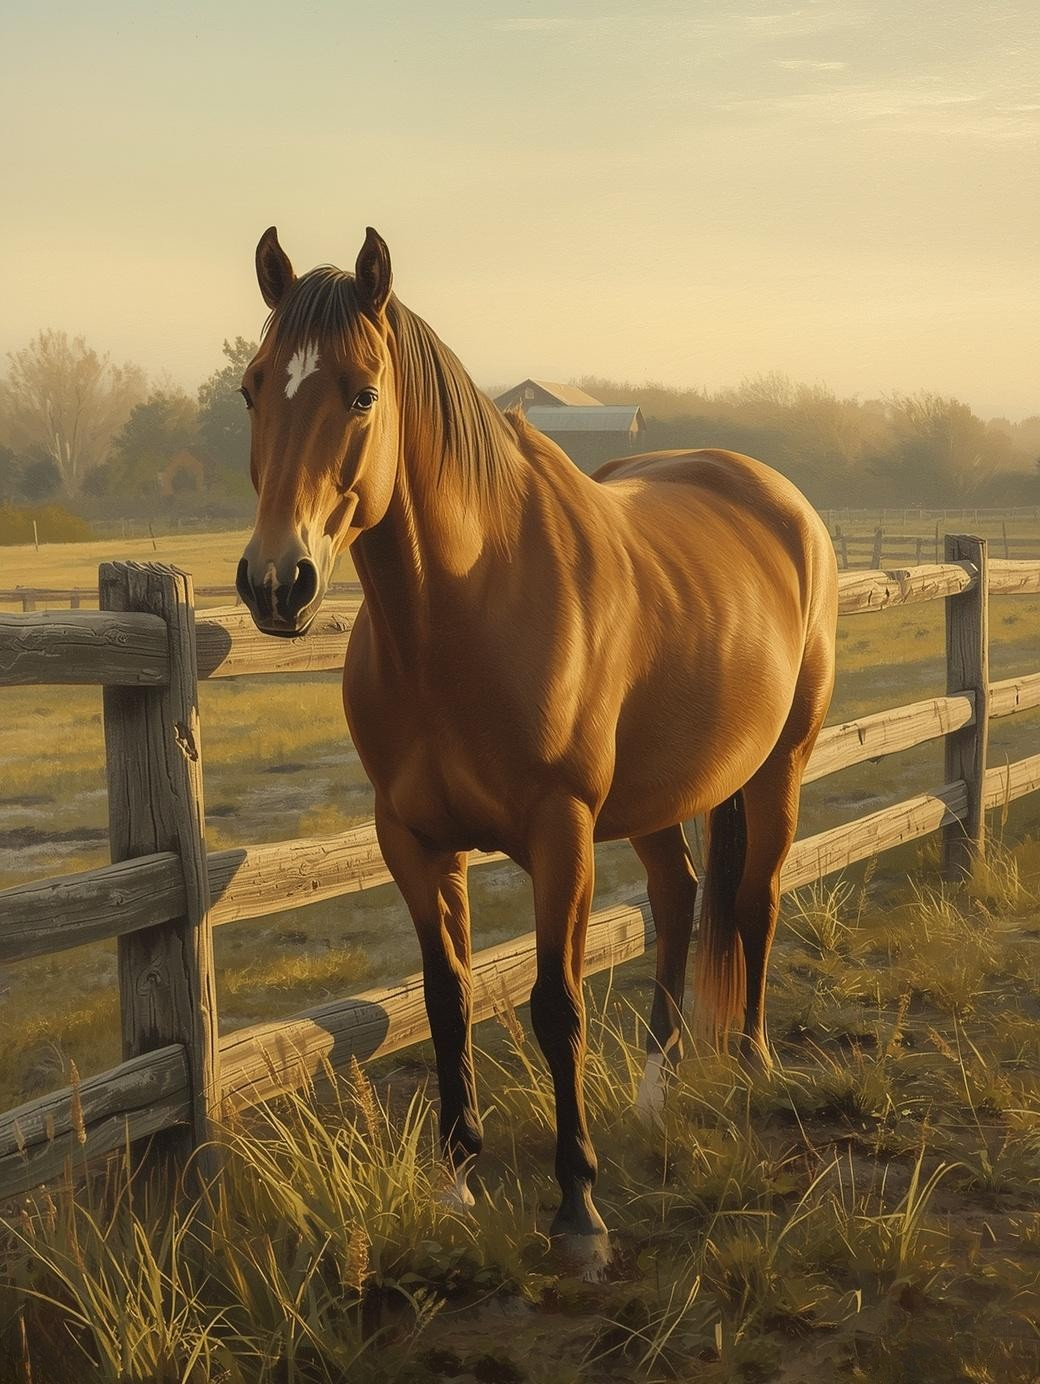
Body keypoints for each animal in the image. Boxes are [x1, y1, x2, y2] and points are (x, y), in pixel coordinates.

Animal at [236, 226, 838, 1268]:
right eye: (253, 385)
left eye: (362, 393)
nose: (280, 583)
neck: (466, 609)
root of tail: (777, 495)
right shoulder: (414, 841)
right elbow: (447, 1000)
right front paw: (455, 1185)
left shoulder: (561, 832)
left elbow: (557, 1005)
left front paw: (578, 1213)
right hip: (657, 797)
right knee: (680, 900)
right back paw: (654, 1095)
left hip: (778, 768)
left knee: (754, 900)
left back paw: (753, 1059)